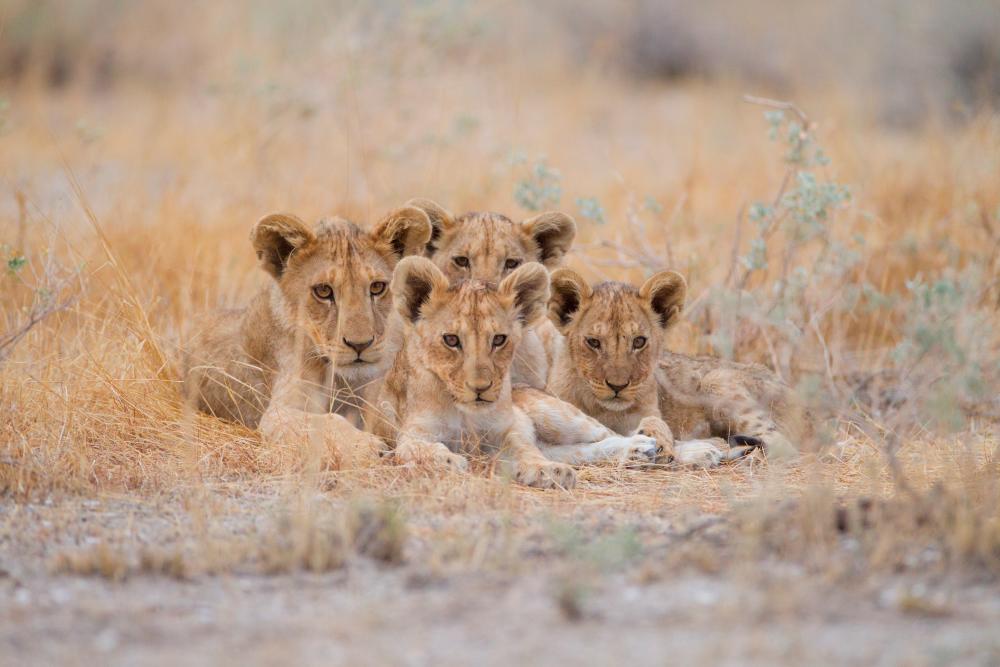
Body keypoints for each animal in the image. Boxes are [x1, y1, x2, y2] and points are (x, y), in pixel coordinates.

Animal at [182, 207, 432, 467]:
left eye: (377, 287)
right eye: (323, 291)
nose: (359, 344)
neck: (343, 382)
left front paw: (429, 452)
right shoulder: (277, 413)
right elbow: (326, 422)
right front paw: (368, 447)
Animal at [363, 257, 658, 489]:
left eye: (498, 339)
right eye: (451, 340)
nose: (480, 388)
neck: (465, 412)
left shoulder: (510, 428)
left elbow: (525, 450)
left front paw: (548, 471)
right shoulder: (412, 433)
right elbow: (416, 450)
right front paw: (449, 461)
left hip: (557, 414)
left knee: (606, 434)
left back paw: (646, 446)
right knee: (584, 450)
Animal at [545, 269, 800, 465]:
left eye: (639, 341)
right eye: (593, 342)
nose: (618, 386)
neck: (604, 409)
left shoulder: (646, 412)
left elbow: (656, 423)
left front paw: (657, 443)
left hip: (717, 380)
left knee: (782, 444)